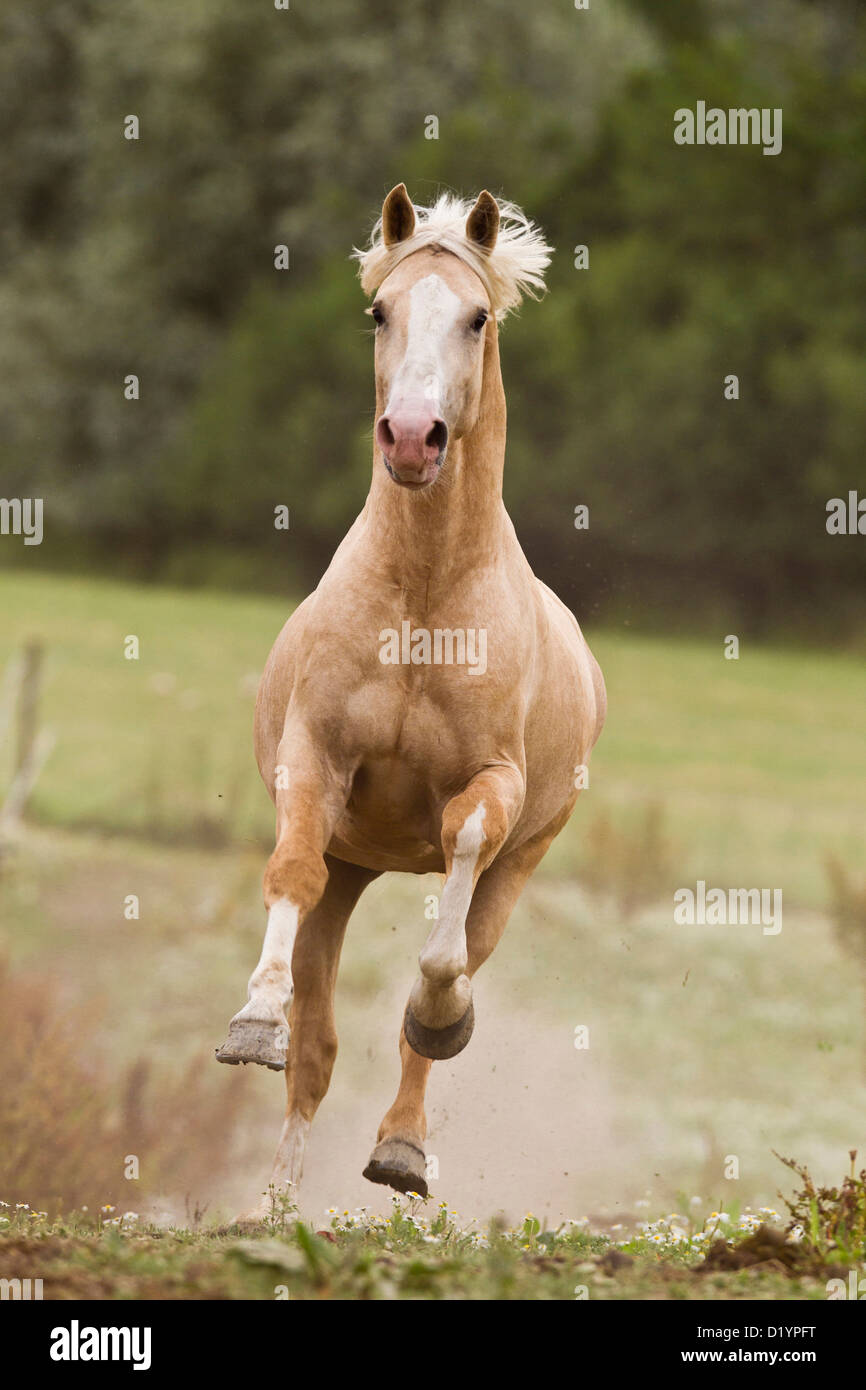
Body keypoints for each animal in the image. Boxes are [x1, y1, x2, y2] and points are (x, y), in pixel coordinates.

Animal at [216, 184, 606, 1216]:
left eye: (477, 319)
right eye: (378, 313)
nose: (411, 437)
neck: (425, 596)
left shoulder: (493, 786)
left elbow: (446, 938)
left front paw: (439, 1016)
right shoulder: (312, 759)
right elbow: (288, 879)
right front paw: (253, 1020)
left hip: (523, 862)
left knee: (452, 970)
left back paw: (401, 1144)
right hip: (353, 865)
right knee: (316, 1052)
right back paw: (275, 1206)